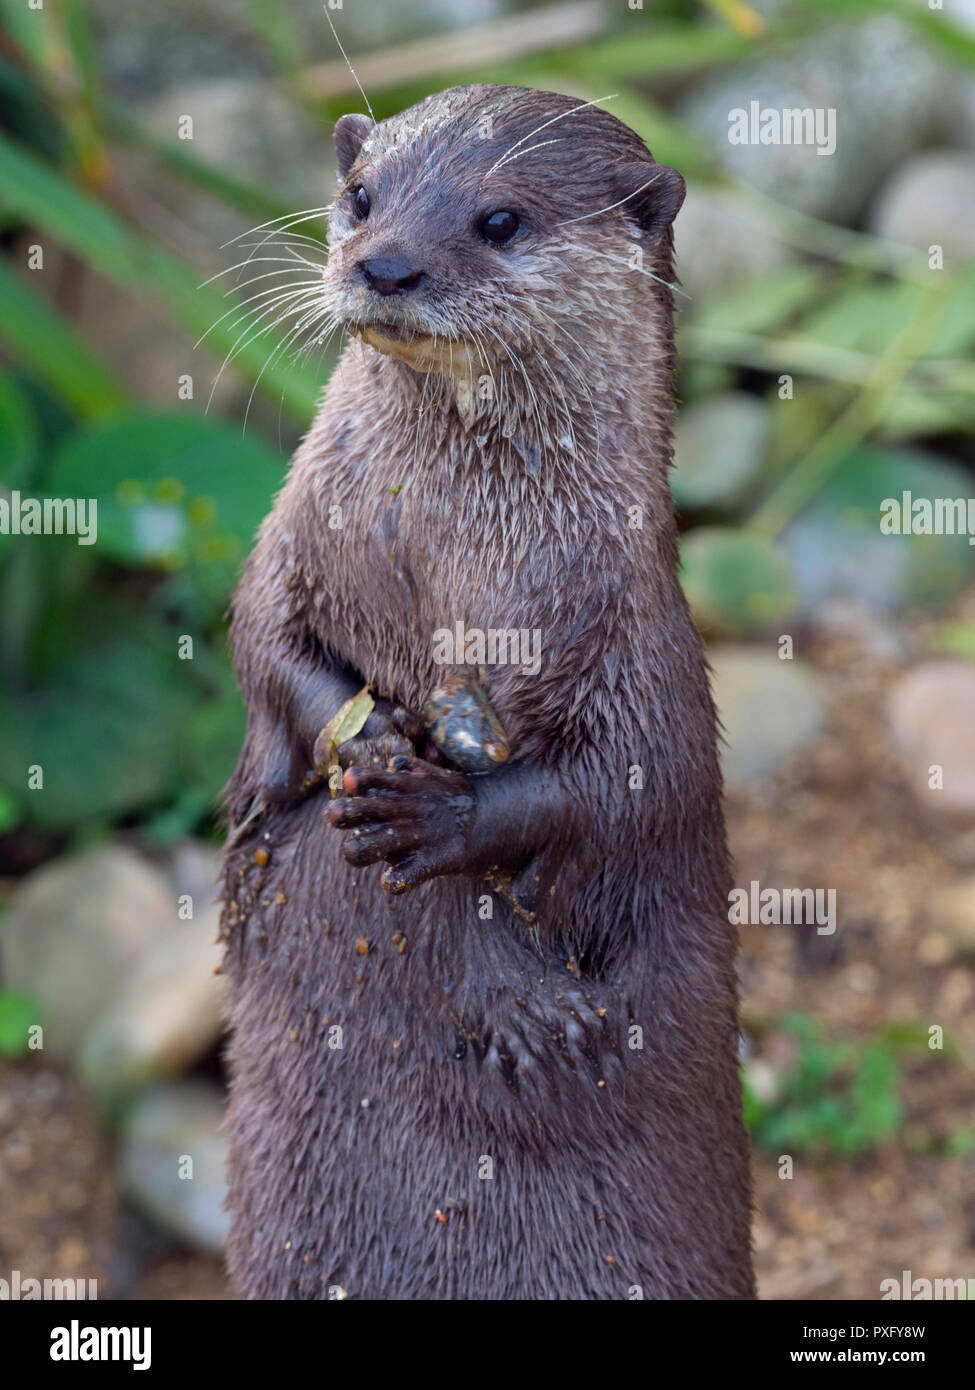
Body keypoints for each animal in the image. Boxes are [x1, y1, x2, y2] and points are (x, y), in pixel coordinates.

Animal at [221, 84, 755, 1300]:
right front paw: (371, 744)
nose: (385, 265)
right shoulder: (289, 538)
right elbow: (265, 640)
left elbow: (623, 789)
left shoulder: (637, 639)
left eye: (500, 219)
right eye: (361, 196)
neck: (447, 554)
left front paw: (441, 814)